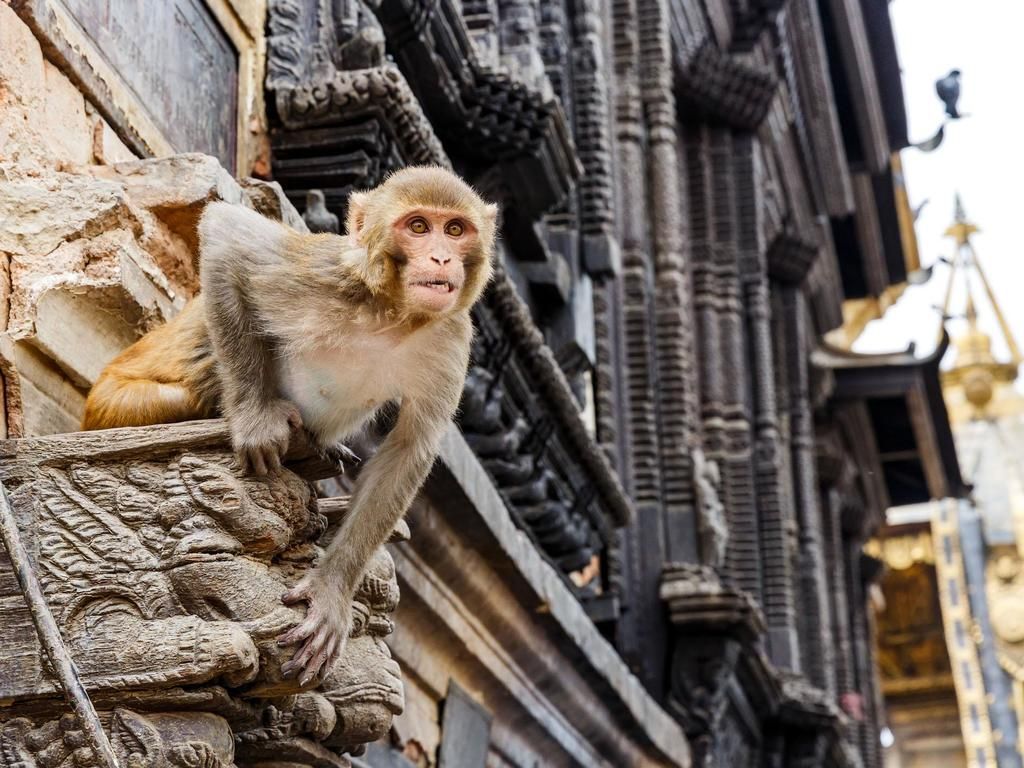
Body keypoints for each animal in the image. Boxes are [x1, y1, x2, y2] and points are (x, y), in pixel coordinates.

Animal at [82, 166, 498, 684]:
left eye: (455, 229)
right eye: (419, 226)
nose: (441, 256)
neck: (390, 313)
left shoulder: (451, 336)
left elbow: (408, 449)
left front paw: (332, 591)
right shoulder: (322, 275)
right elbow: (228, 235)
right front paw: (256, 417)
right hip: (117, 405)